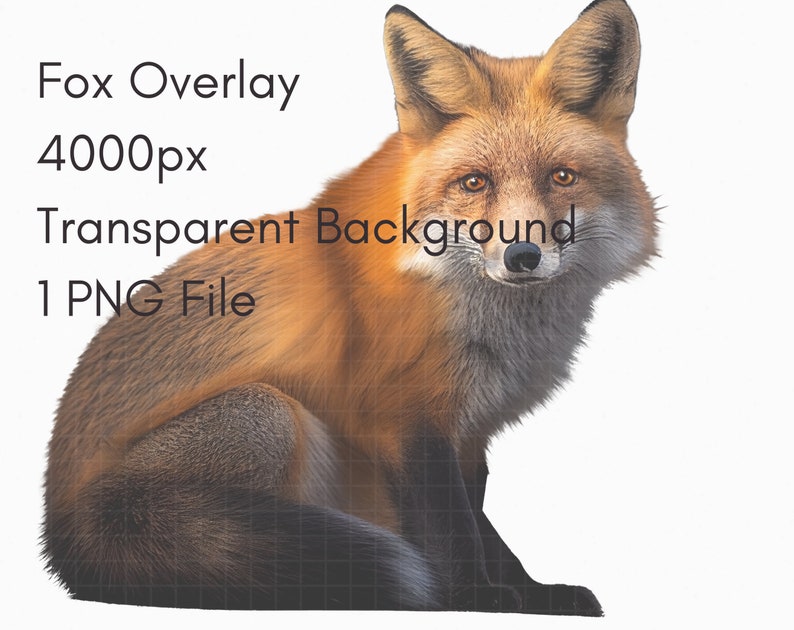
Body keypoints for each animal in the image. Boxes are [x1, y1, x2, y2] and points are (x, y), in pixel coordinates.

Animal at [43, 0, 656, 615]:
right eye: (474, 183)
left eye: (562, 177)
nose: (522, 256)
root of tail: (58, 533)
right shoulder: (404, 419)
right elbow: (456, 533)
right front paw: (477, 599)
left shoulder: (470, 430)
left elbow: (487, 532)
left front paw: (530, 593)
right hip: (267, 414)